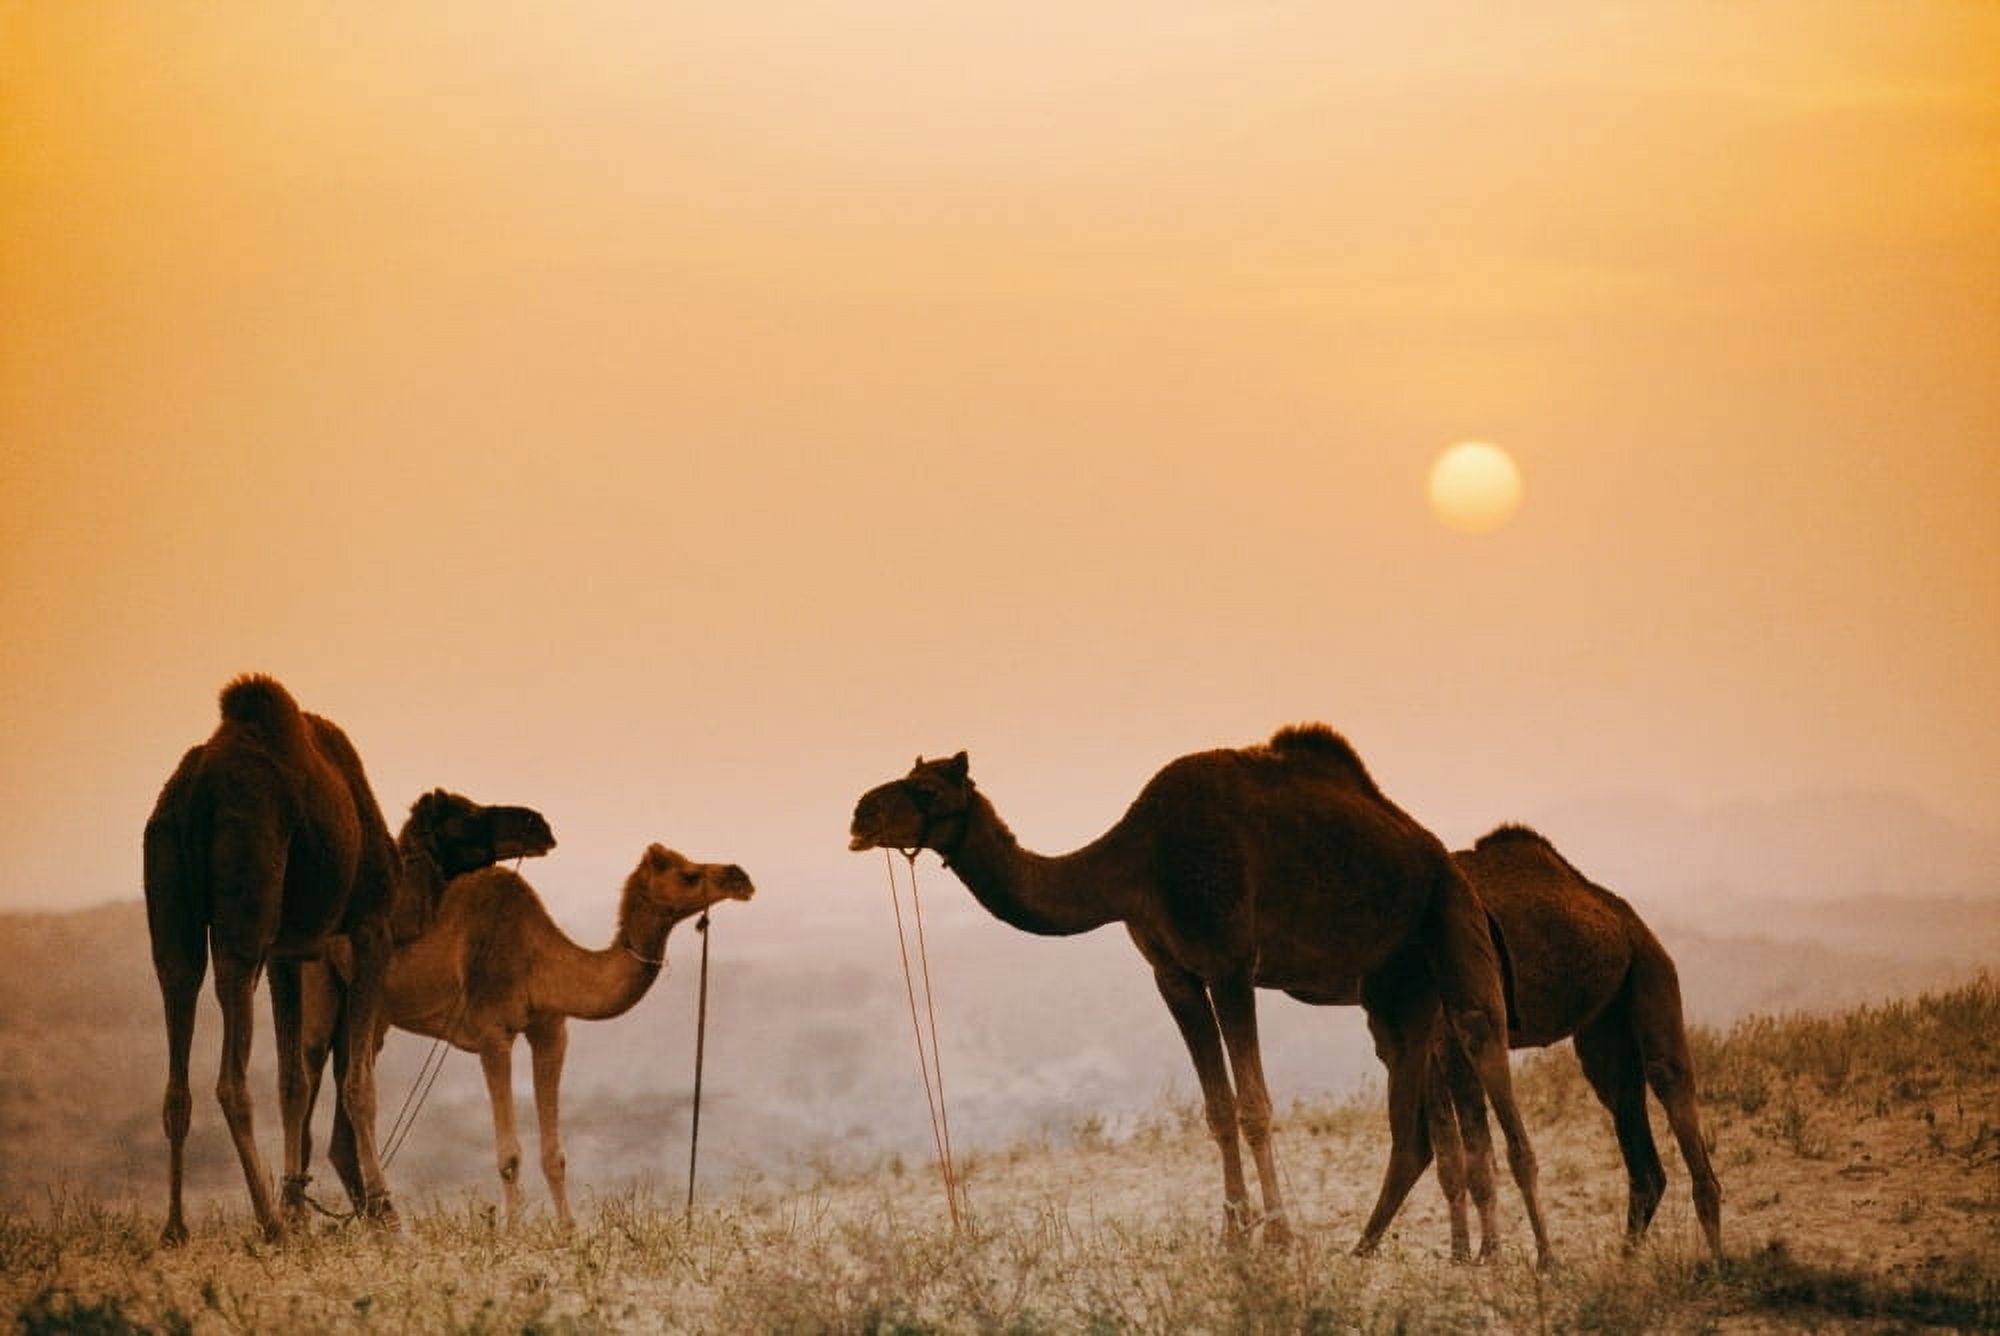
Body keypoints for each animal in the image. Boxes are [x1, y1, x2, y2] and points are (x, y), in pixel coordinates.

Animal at [144, 675, 405, 1244]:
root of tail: (197, 790)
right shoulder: (372, 930)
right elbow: (359, 1084)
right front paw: (385, 1214)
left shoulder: (288, 954)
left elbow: (293, 1082)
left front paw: (300, 1209)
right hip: (248, 897)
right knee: (231, 1078)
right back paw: (269, 1224)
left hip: (169, 899)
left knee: (178, 1034)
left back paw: (176, 1228)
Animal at [301, 842, 754, 1228]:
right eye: (689, 875)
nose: (741, 877)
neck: (541, 959)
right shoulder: (491, 1033)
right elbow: (509, 1155)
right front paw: (513, 1233)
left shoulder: (551, 1030)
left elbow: (555, 1154)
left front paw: (568, 1232)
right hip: (341, 983)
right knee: (345, 1082)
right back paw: (386, 1219)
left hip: (368, 1007)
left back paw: (365, 1219)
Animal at [848, 727, 1554, 1265]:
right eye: (906, 776)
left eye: (927, 789)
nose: (860, 814)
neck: (1136, 863)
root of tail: (1441, 852)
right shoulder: (1174, 973)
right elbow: (1216, 1110)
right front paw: (1232, 1236)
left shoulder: (1230, 962)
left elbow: (1254, 1106)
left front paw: (1278, 1237)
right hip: (1394, 984)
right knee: (1413, 1114)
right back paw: (1385, 1248)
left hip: (1448, 916)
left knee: (1480, 1037)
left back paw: (1538, 1256)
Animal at [1414, 825, 1722, 1261]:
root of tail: (1635, 926)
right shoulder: (1428, 1048)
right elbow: (1449, 1162)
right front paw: (1459, 1258)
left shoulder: (1454, 1036)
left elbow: (1476, 1156)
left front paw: (1487, 1257)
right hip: (1605, 1027)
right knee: (1638, 1141)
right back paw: (1624, 1262)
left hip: (1652, 974)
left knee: (1669, 1077)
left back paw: (1716, 1261)